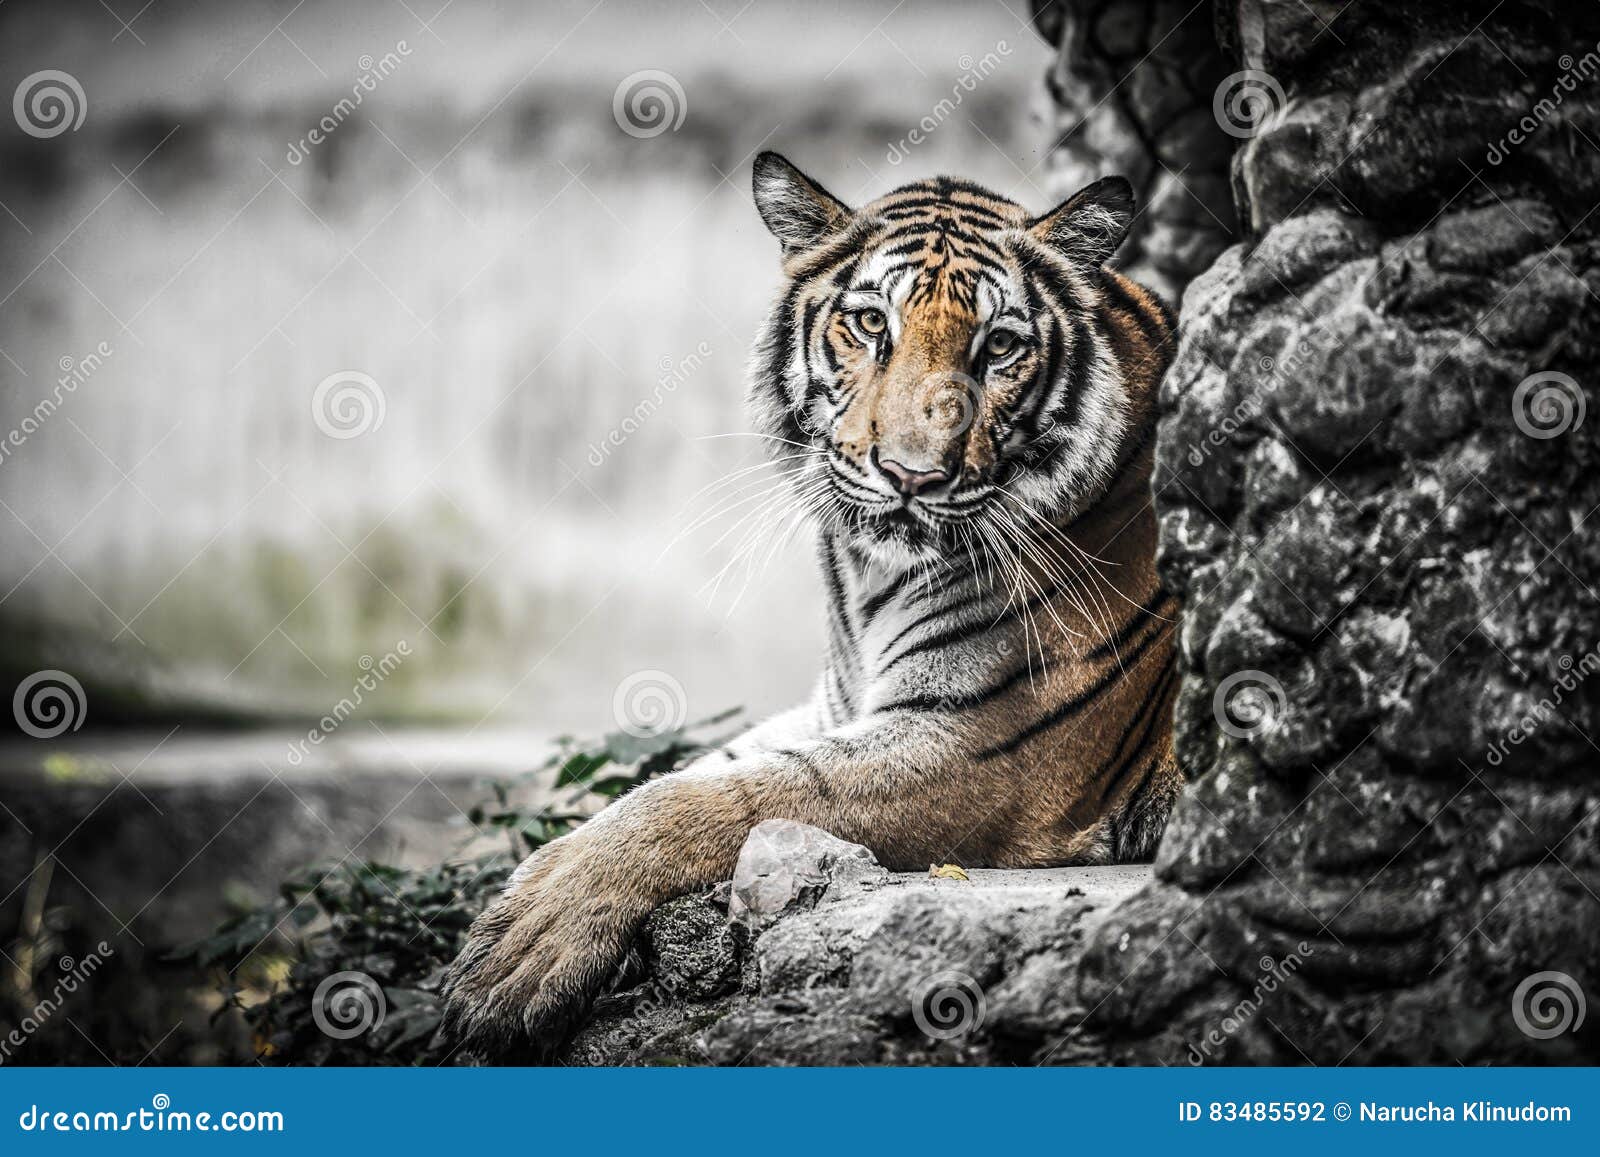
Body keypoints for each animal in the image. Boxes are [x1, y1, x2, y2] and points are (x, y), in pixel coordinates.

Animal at [442, 152, 1181, 1059]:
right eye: (869, 324)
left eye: (1000, 346)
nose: (912, 474)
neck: (866, 578)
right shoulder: (838, 706)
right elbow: (690, 770)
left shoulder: (977, 746)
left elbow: (714, 799)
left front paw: (522, 948)